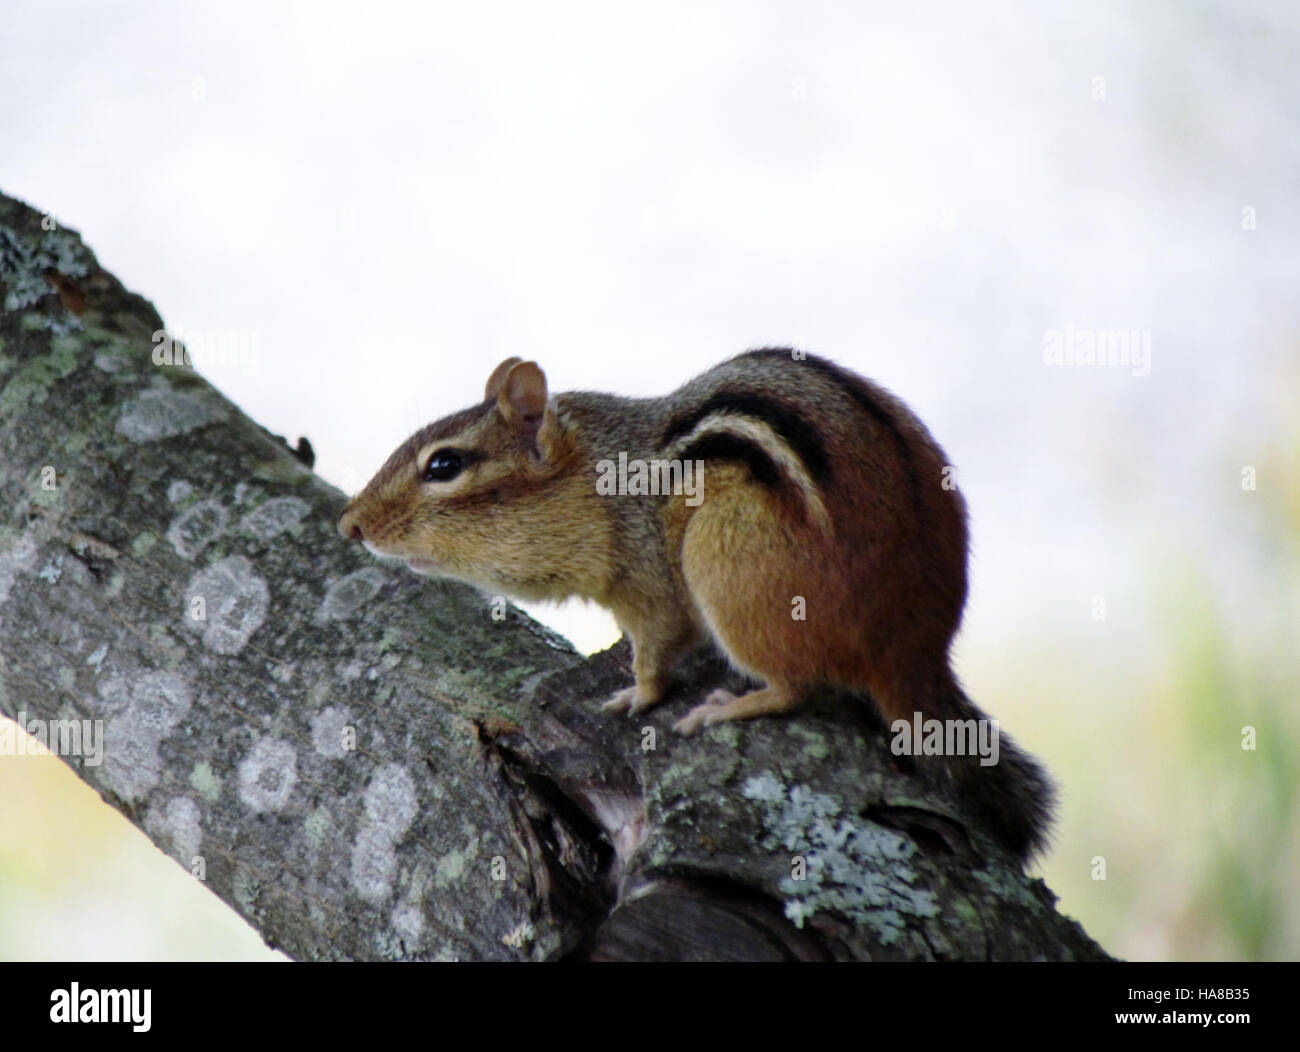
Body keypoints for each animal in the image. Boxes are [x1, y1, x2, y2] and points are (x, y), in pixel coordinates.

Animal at [337, 348, 1056, 862]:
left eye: (444, 466)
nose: (350, 525)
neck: (598, 480)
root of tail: (915, 649)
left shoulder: (652, 583)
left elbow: (658, 650)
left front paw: (636, 693)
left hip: (725, 563)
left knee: (798, 686)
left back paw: (728, 706)